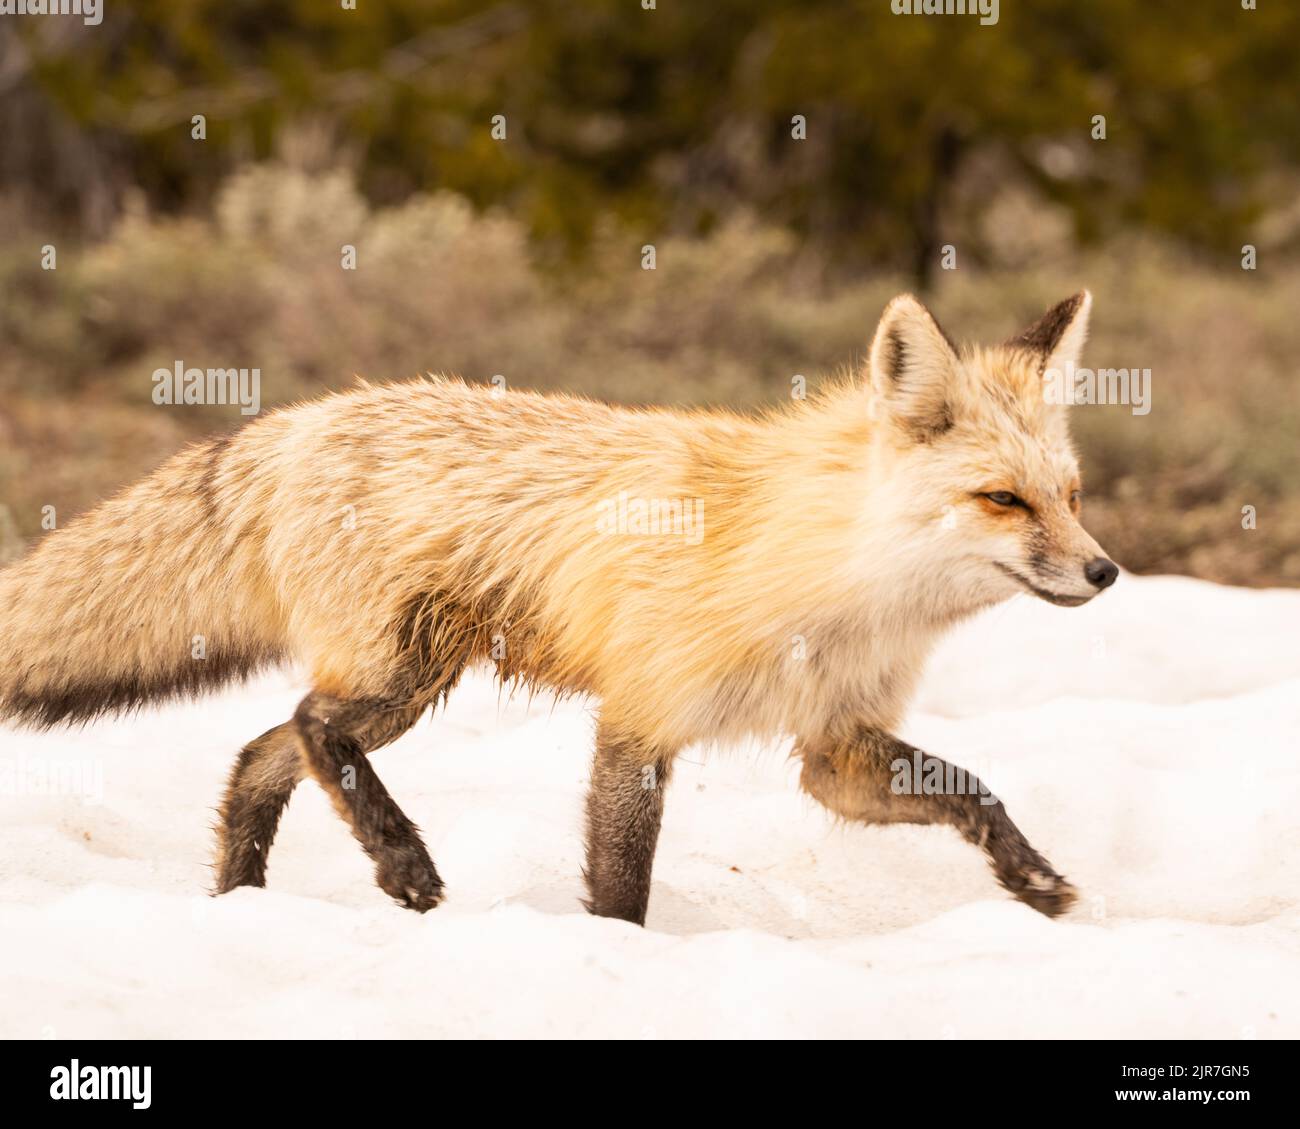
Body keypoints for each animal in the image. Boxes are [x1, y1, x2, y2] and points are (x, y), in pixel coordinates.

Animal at [0, 291, 1117, 923]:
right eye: (1003, 500)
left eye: (1070, 493)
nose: (1106, 574)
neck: (833, 591)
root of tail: (292, 419)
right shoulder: (641, 717)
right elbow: (620, 888)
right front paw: (616, 965)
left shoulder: (832, 748)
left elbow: (974, 790)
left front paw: (1033, 881)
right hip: (405, 674)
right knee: (313, 730)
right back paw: (400, 861)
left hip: (399, 675)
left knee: (258, 754)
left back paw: (240, 902)